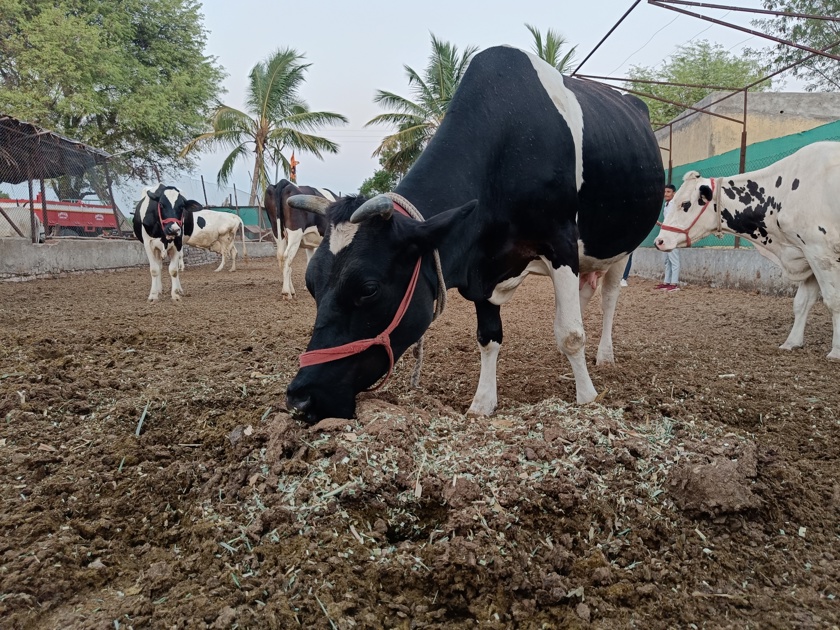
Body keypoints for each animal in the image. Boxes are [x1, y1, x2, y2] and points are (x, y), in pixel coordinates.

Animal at [281, 46, 664, 424]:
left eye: (368, 289)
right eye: (311, 283)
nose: (300, 397)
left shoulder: (560, 243)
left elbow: (570, 334)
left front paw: (587, 398)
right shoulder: (482, 260)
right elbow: (489, 337)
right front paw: (482, 403)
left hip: (622, 247)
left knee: (609, 297)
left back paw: (604, 355)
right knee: (585, 294)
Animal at [654, 141, 840, 360]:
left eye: (685, 204)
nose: (660, 240)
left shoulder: (820, 252)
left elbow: (834, 300)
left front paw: (836, 350)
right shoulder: (805, 254)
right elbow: (801, 302)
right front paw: (791, 342)